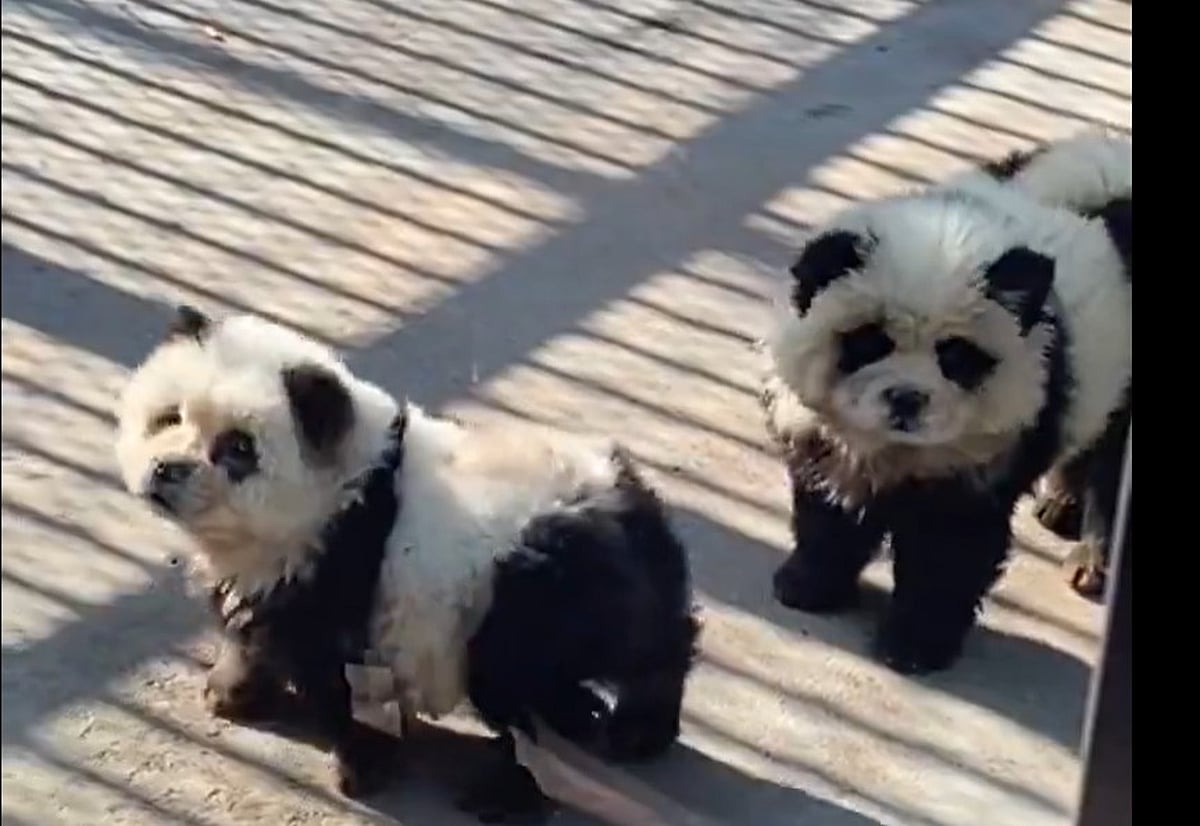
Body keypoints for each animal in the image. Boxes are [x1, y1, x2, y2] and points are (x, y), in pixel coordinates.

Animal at [114, 307, 700, 821]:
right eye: (167, 417)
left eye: (237, 448)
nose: (167, 470)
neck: (350, 486)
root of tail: (630, 507)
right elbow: (256, 628)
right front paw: (232, 690)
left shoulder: (343, 569)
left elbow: (340, 674)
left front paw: (359, 765)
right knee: (653, 646)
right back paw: (638, 726)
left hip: (527, 594)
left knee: (528, 692)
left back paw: (511, 789)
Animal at [759, 136, 1131, 673]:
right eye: (871, 340)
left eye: (954, 355)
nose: (906, 399)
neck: (899, 450)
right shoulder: (828, 437)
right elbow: (831, 509)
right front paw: (807, 584)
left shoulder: (986, 453)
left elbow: (949, 551)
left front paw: (914, 644)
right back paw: (1061, 503)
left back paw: (1092, 557)